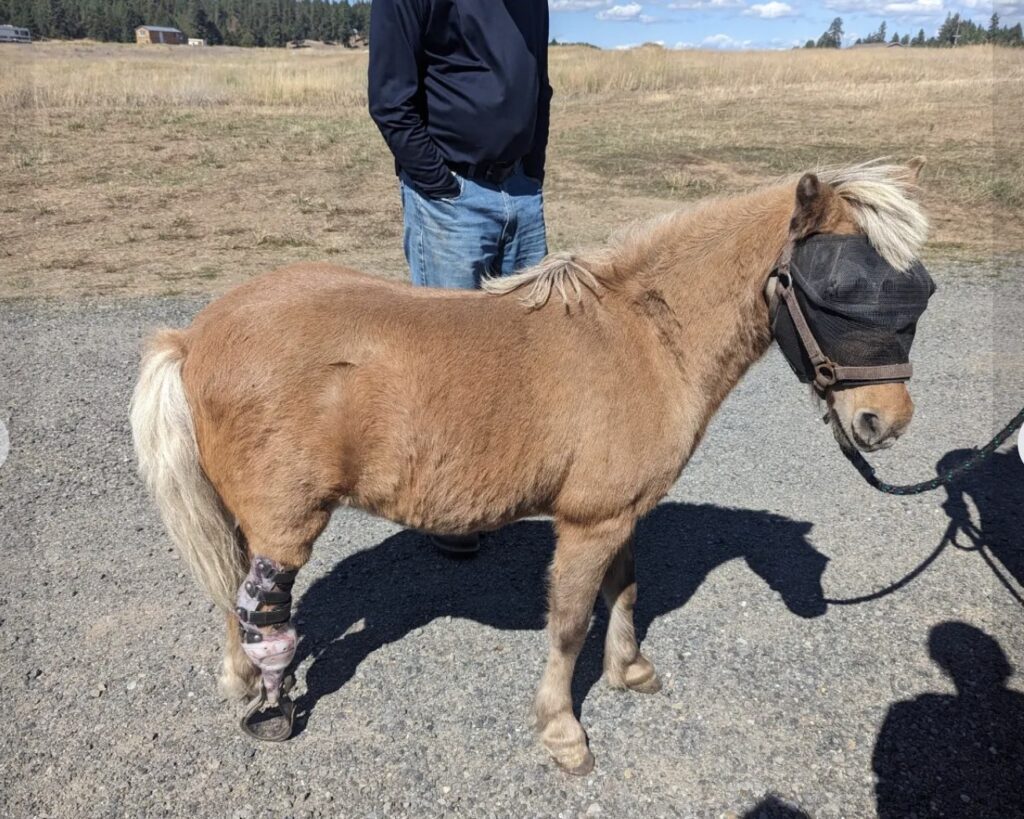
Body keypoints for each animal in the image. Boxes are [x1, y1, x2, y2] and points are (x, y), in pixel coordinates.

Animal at [130, 160, 928, 774]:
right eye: (838, 291)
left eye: (916, 293)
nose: (883, 422)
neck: (643, 337)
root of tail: (194, 336)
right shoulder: (587, 521)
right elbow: (570, 623)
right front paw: (562, 730)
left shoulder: (619, 512)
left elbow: (624, 588)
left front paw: (629, 669)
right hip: (286, 523)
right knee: (257, 605)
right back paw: (270, 706)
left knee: (231, 591)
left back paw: (241, 681)